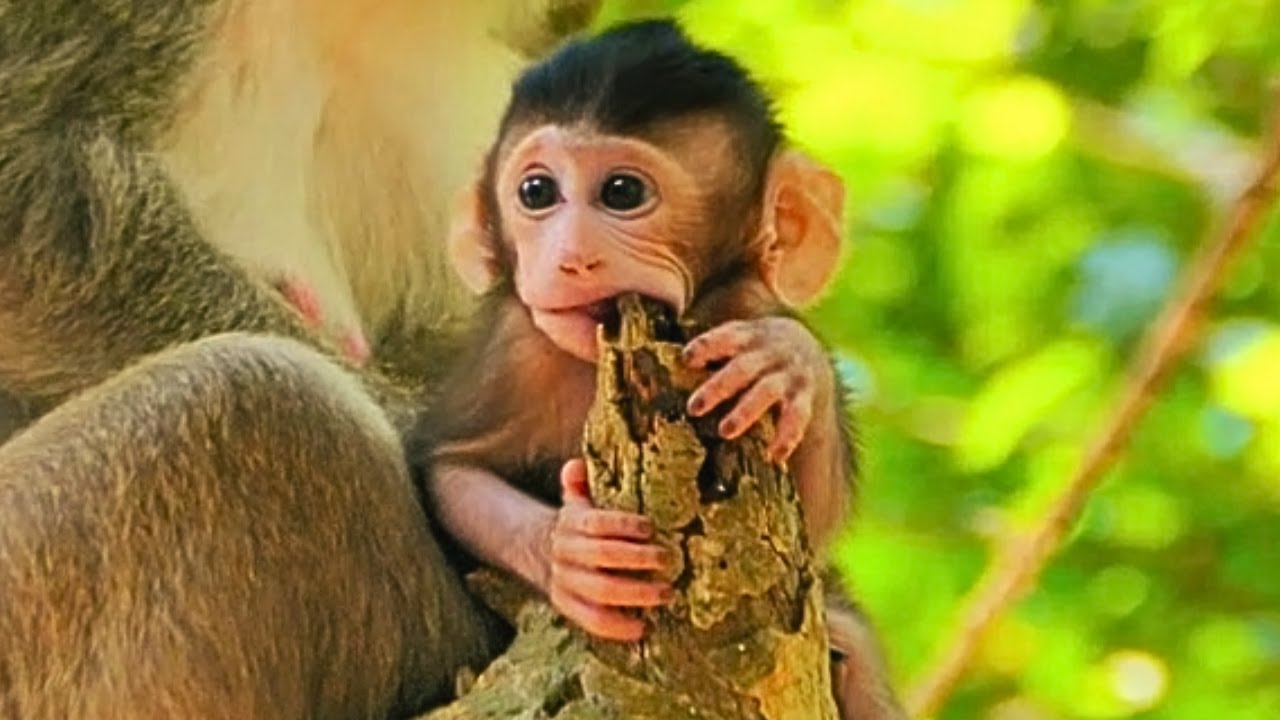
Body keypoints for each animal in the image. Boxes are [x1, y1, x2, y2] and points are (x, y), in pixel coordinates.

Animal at [404, 19, 907, 720]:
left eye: (623, 192)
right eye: (537, 193)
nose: (572, 257)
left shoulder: (744, 304)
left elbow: (812, 525)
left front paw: (787, 360)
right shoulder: (518, 350)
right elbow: (450, 468)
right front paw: (570, 555)